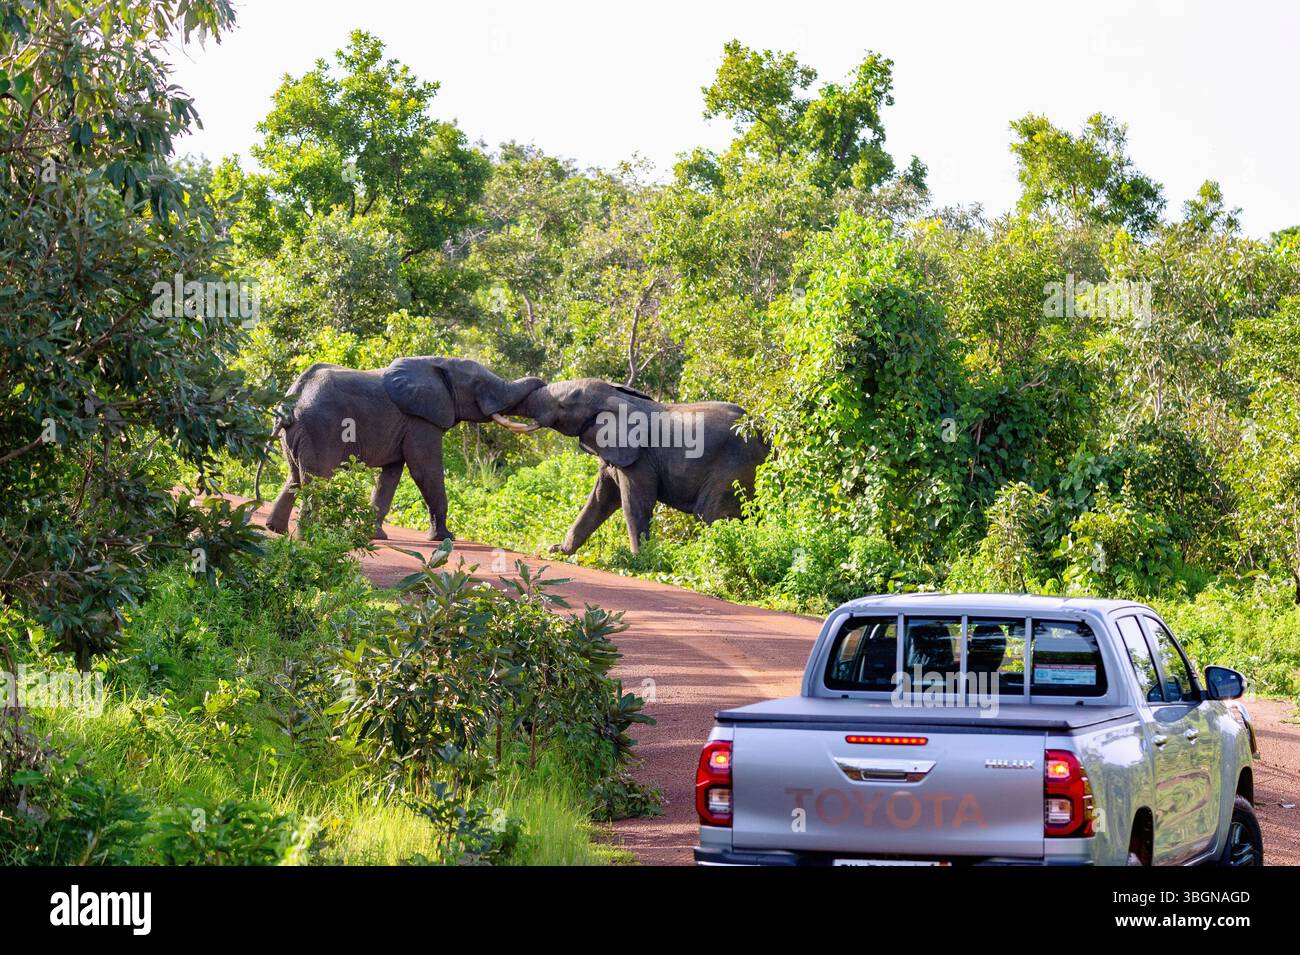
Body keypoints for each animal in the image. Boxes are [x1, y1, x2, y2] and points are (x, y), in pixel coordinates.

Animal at [262, 357, 542, 540]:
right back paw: (306, 538)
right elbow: (425, 472)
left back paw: (275, 530)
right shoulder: (421, 422)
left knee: (295, 477)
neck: (438, 364)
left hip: (299, 434)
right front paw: (444, 538)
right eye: (479, 385)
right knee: (317, 480)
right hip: (321, 428)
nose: (542, 382)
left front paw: (376, 536)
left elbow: (390, 476)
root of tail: (290, 402)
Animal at [503, 378, 769, 554]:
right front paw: (558, 550)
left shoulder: (640, 457)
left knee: (708, 515)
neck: (620, 397)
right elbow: (600, 499)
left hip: (734, 467)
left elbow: (635, 504)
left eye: (564, 406)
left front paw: (639, 560)